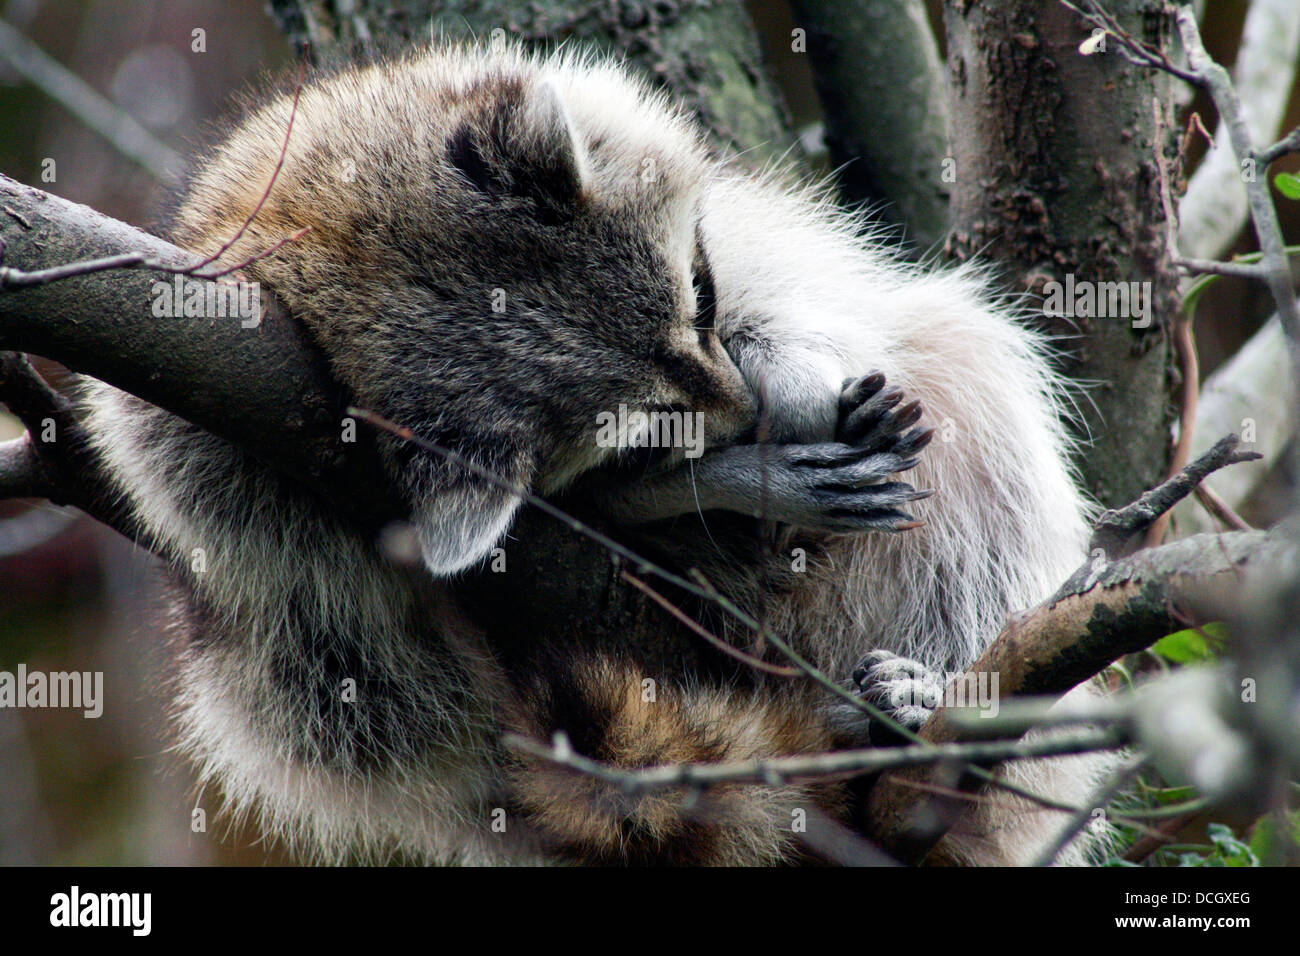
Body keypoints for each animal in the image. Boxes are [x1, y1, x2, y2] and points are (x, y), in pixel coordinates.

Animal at [78, 44, 1104, 865]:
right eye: (641, 438)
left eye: (701, 295)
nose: (739, 420)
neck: (305, 217)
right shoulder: (198, 452)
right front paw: (721, 481)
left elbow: (814, 301)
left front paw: (785, 383)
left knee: (975, 395)